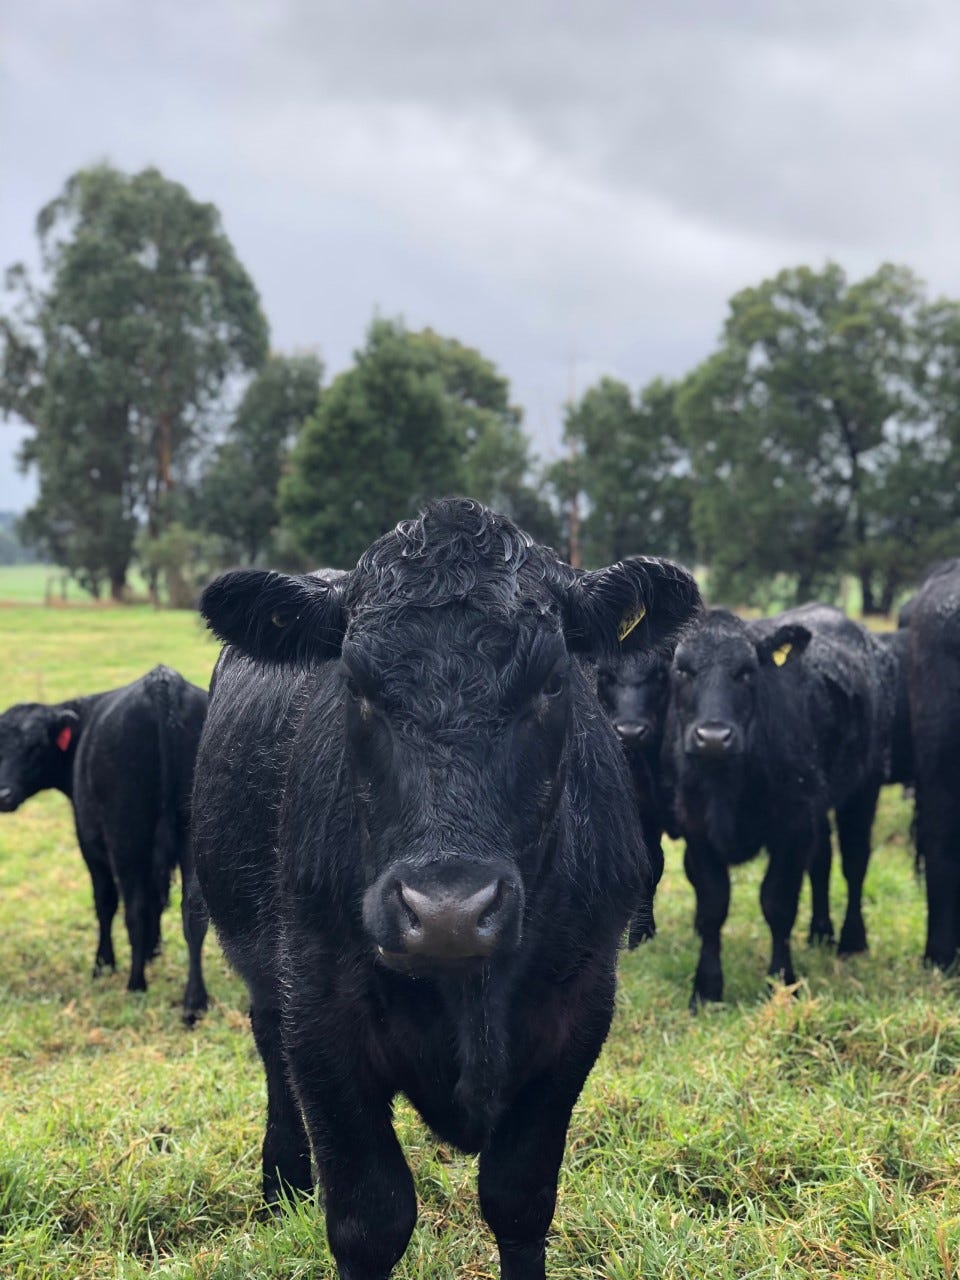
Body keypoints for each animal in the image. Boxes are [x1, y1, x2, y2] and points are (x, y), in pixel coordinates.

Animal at [0, 665, 209, 1022]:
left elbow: (105, 901)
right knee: (192, 910)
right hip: (189, 830)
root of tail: (163, 682)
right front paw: (152, 951)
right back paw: (194, 1003)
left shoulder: (90, 842)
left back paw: (136, 984)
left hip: (125, 835)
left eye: (34, 747)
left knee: (133, 906)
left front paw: (103, 963)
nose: (3, 795)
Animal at [663, 604, 895, 1008]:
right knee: (822, 862)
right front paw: (706, 989)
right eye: (682, 670)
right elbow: (712, 906)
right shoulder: (696, 828)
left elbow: (778, 903)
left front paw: (783, 981)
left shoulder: (792, 825)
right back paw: (820, 932)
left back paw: (852, 940)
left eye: (746, 672)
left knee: (854, 863)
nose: (713, 737)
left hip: (864, 787)